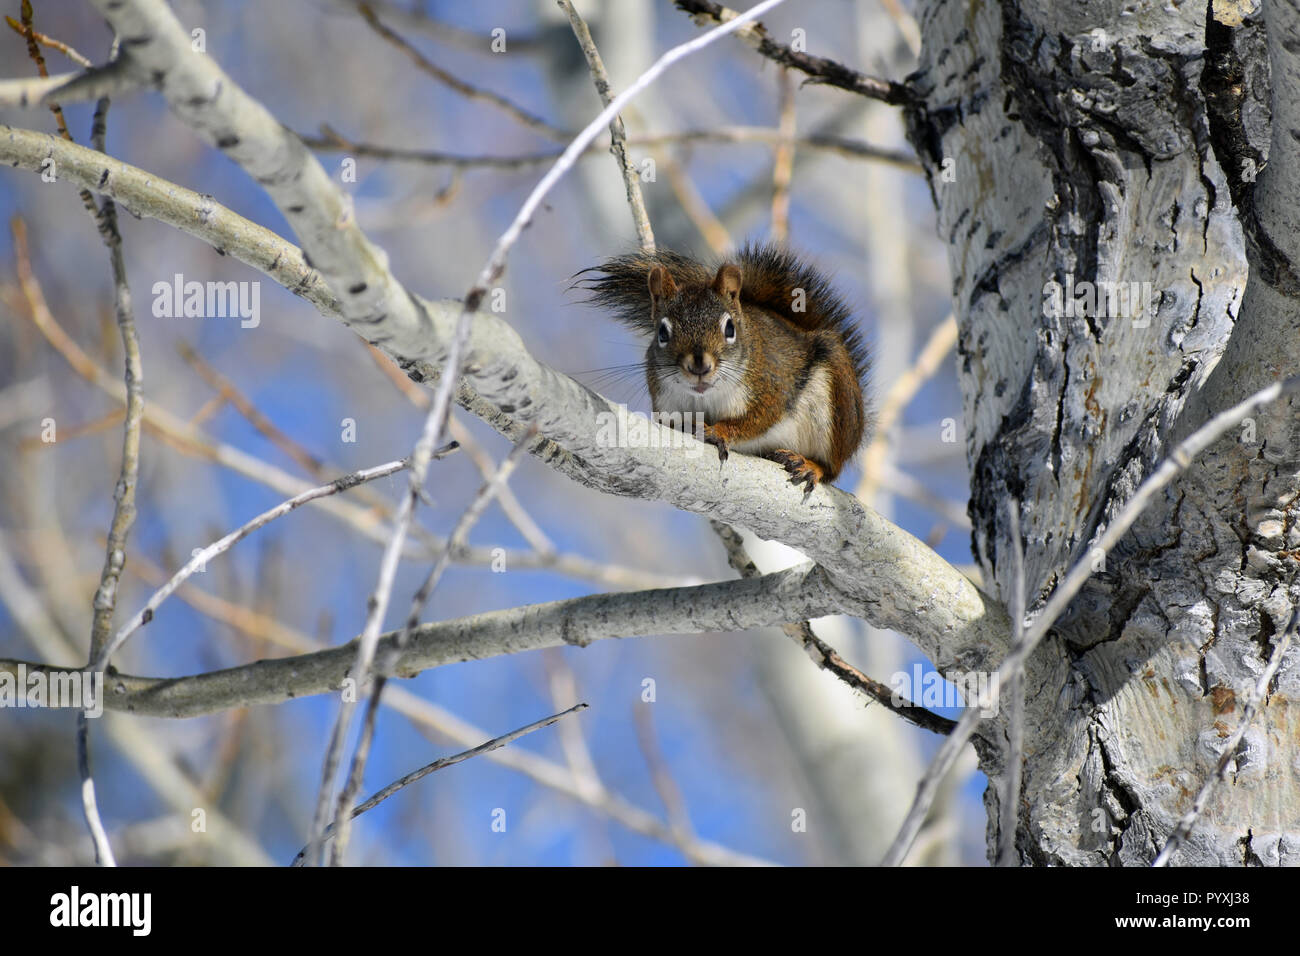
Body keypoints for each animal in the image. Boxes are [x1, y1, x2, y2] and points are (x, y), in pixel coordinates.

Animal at [579, 242, 870, 491]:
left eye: (730, 328)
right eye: (662, 332)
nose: (699, 366)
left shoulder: (773, 385)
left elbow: (758, 418)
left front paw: (717, 430)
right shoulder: (664, 402)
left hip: (838, 403)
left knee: (832, 468)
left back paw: (810, 466)